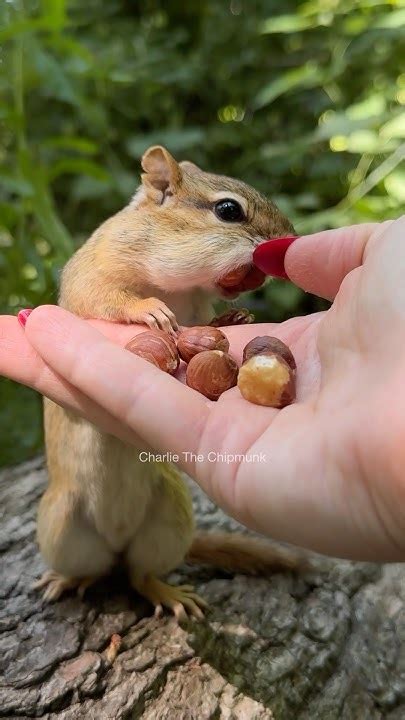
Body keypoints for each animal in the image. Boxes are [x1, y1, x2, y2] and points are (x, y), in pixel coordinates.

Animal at [34, 146, 300, 621]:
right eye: (228, 210)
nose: (289, 240)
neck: (173, 285)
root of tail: (117, 541)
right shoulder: (94, 270)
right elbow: (102, 298)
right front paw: (148, 310)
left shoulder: (195, 307)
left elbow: (204, 324)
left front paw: (233, 319)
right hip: (59, 524)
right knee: (94, 570)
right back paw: (65, 579)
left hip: (170, 519)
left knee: (140, 575)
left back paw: (166, 591)